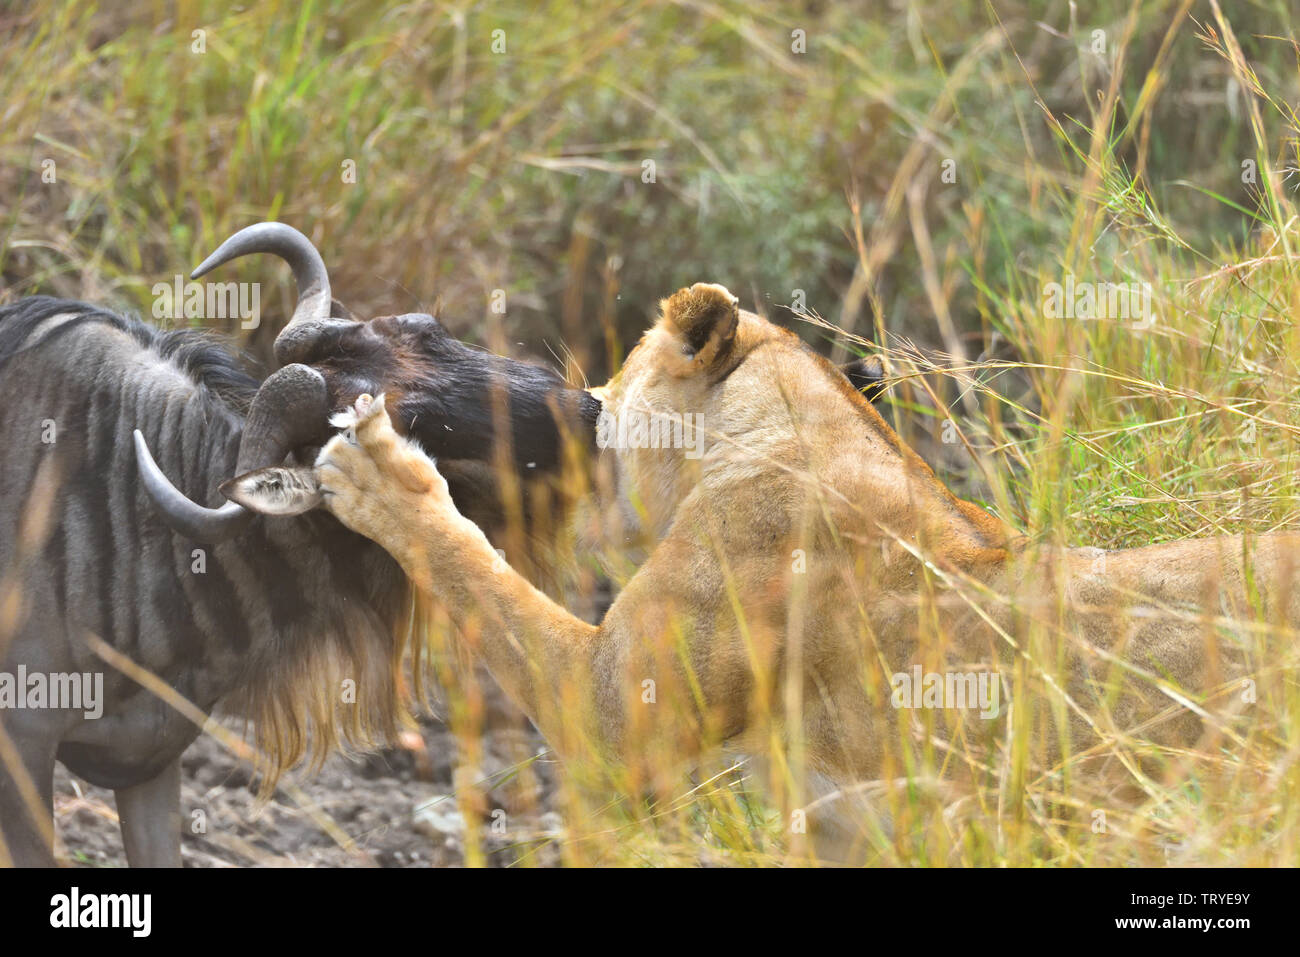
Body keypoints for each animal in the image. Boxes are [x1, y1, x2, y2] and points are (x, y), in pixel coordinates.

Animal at [233, 282, 1289, 861]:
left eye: (614, 382)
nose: (576, 407)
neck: (798, 433)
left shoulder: (617, 706)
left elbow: (481, 574)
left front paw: (383, 472)